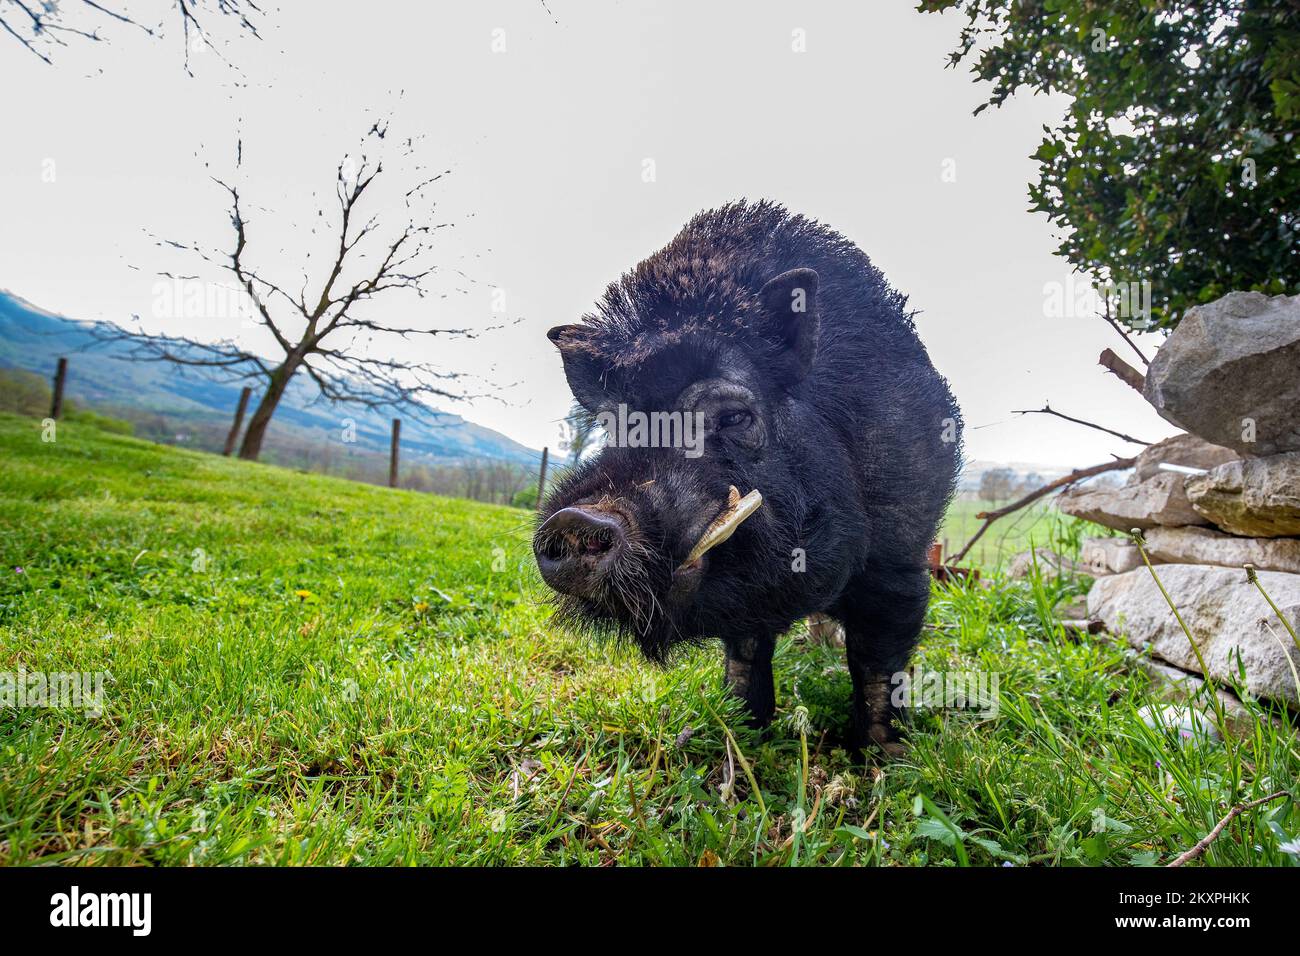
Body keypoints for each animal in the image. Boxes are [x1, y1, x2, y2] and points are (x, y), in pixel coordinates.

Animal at [534, 200, 961, 755]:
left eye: (735, 417)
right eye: (614, 425)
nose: (576, 519)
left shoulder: (900, 561)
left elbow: (876, 665)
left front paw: (883, 757)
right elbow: (745, 656)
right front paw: (739, 732)